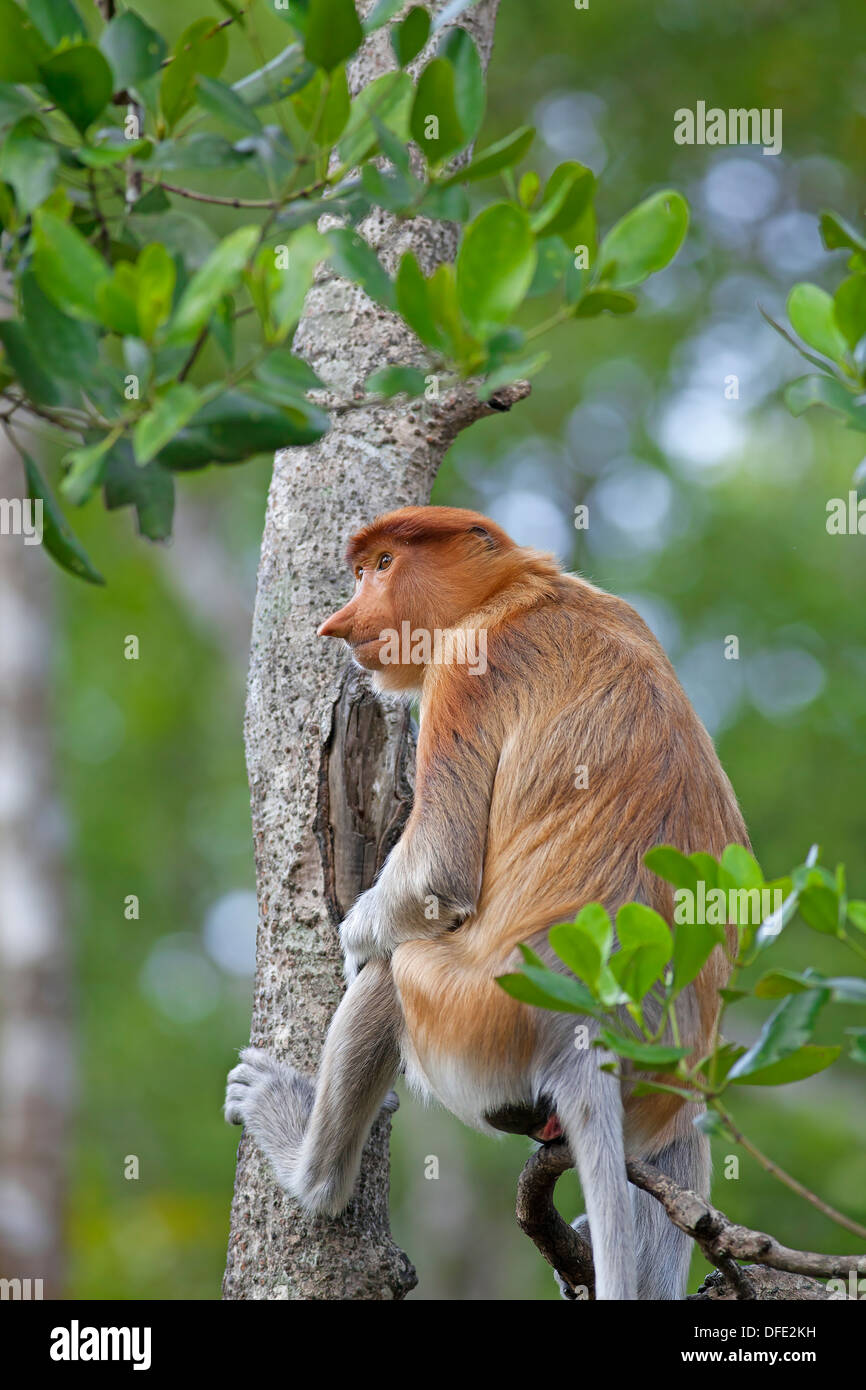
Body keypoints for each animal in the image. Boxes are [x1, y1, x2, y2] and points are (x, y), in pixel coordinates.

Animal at [225, 505, 748, 1300]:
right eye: (361, 569)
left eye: (383, 564)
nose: (338, 622)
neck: (516, 592)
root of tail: (588, 1031)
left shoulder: (465, 669)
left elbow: (437, 874)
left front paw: (352, 938)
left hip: (474, 1021)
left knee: (396, 972)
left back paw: (305, 1163)